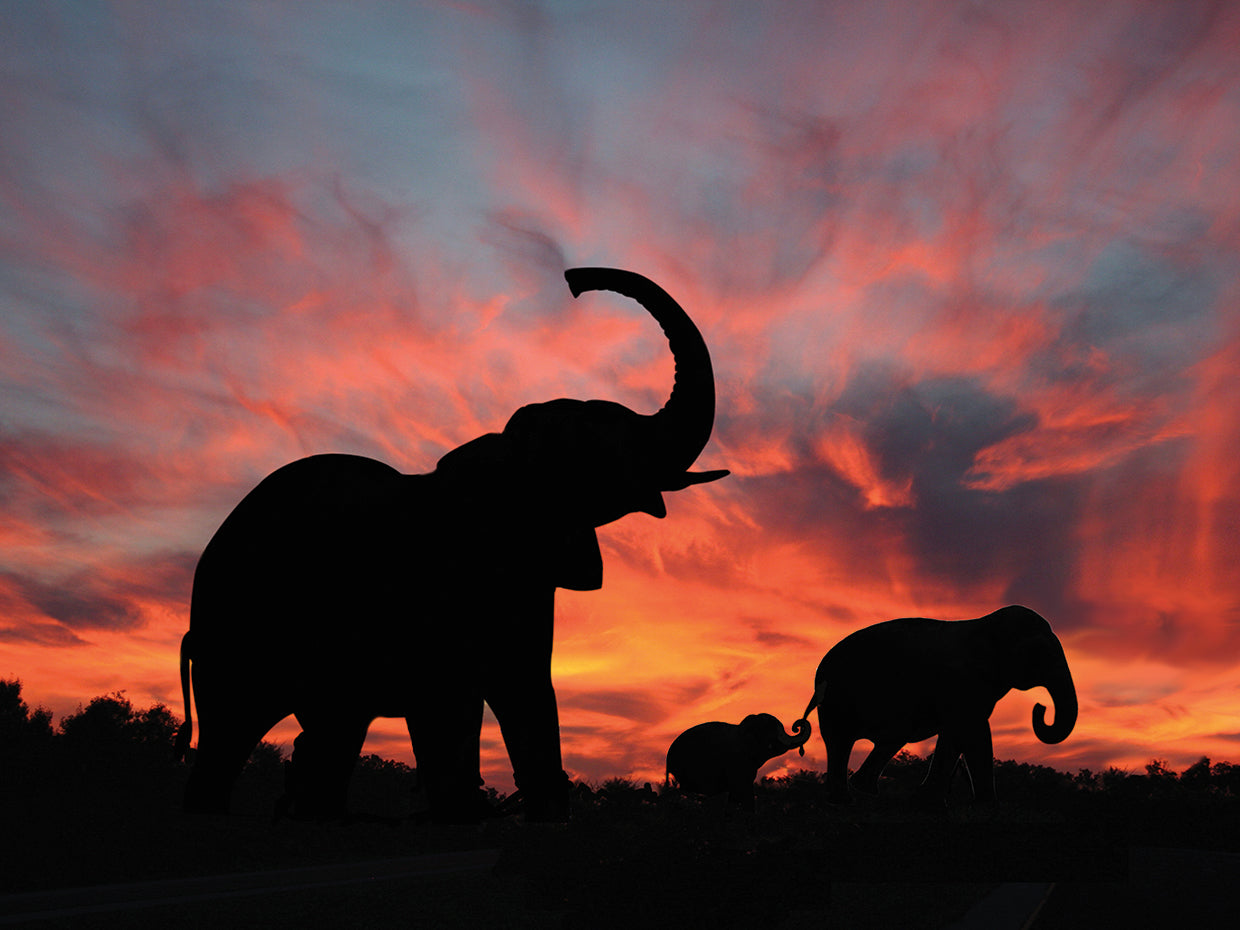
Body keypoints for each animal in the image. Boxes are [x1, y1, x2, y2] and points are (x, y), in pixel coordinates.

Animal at [176, 267, 728, 824]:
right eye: (603, 448)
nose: (574, 281)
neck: (504, 457)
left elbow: (525, 689)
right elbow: (451, 706)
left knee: (332, 732)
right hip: (238, 622)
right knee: (233, 730)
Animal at [795, 605, 1077, 804]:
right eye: (1040, 653)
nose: (1040, 708)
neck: (984, 624)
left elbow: (955, 735)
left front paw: (929, 802)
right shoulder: (962, 682)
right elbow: (974, 733)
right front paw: (989, 806)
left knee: (885, 738)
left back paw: (858, 793)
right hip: (837, 700)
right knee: (844, 742)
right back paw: (848, 800)